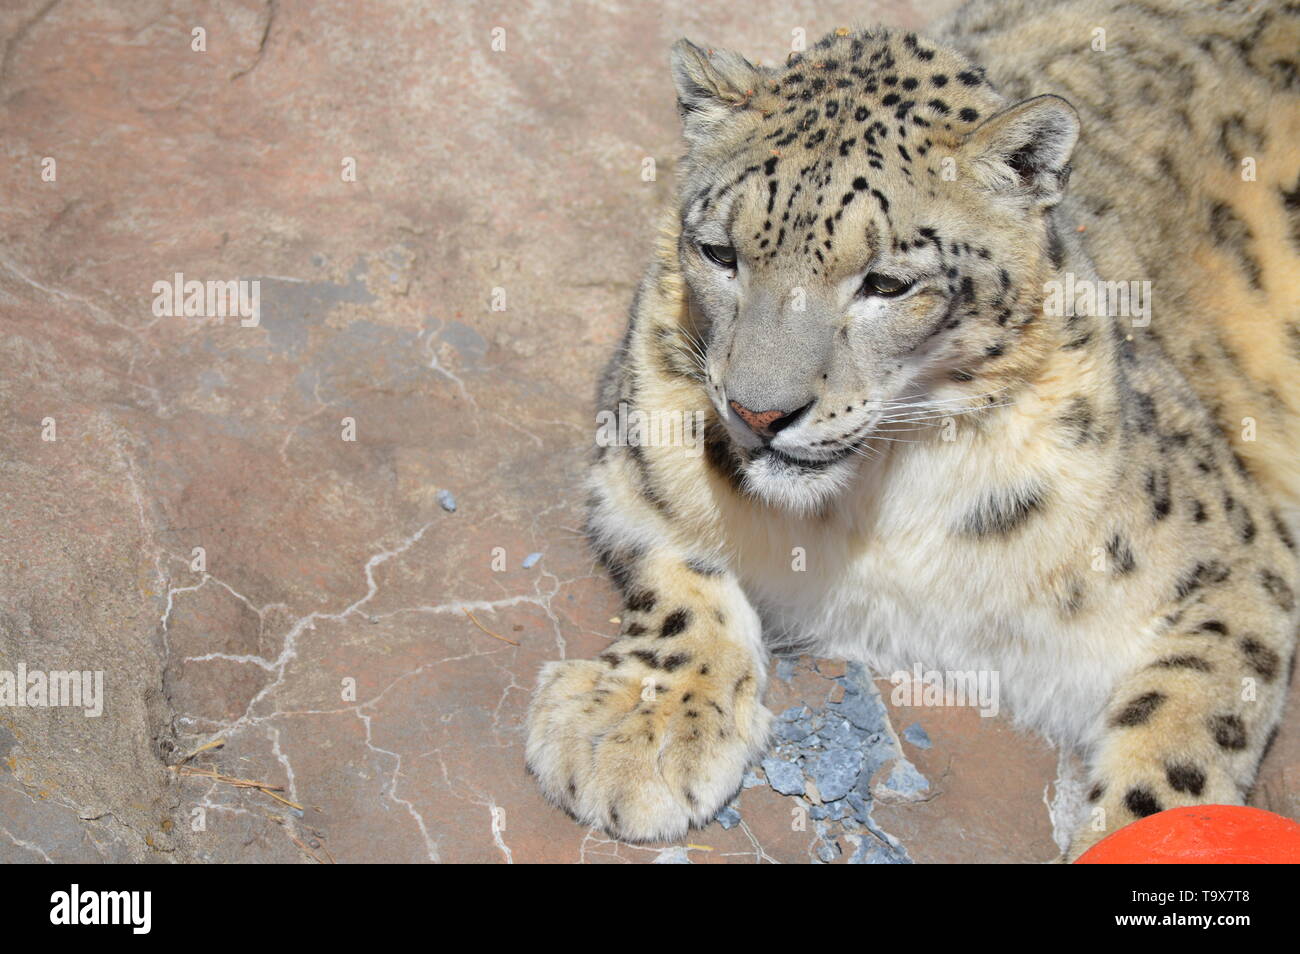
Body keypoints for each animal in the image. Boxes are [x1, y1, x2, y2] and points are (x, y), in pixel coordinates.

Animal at [525, 0, 1300, 861]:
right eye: (719, 252)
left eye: (888, 284)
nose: (759, 414)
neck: (874, 507)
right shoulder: (637, 453)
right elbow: (680, 571)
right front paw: (635, 730)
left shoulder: (1234, 567)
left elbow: (1181, 737)